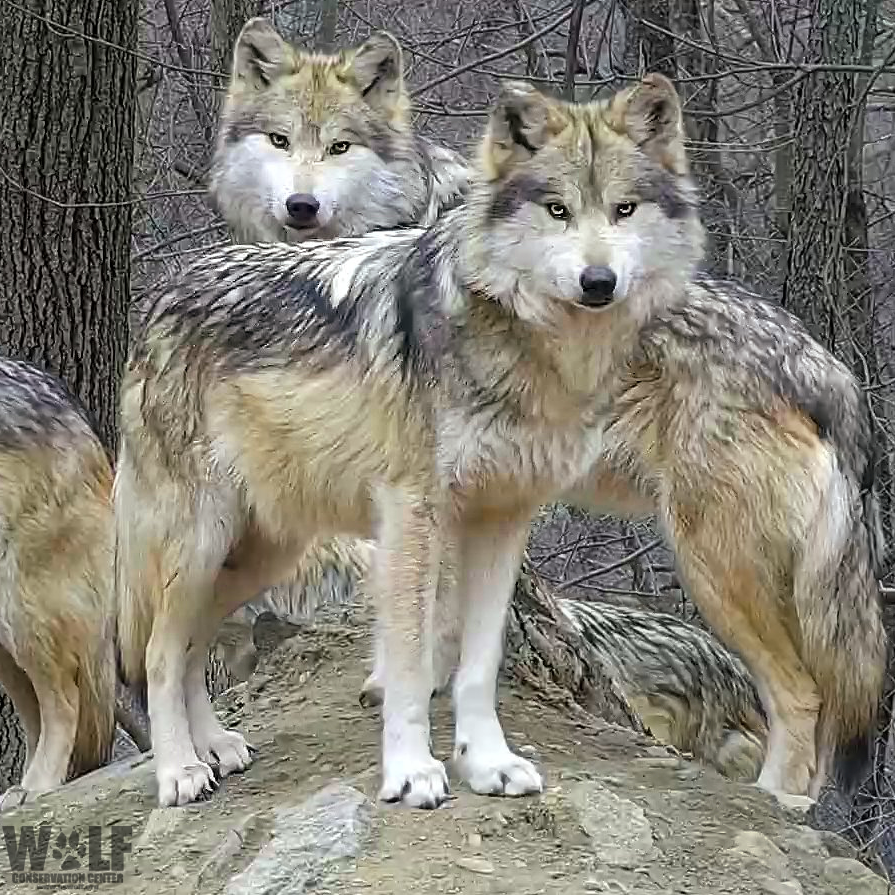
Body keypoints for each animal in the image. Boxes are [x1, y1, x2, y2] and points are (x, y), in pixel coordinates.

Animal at [114, 72, 705, 808]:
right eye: (558, 210)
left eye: (623, 209)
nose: (598, 283)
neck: (526, 347)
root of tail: (162, 292)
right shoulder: (411, 514)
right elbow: (408, 661)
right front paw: (411, 771)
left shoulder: (502, 518)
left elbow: (477, 663)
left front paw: (488, 763)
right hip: (200, 539)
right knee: (160, 652)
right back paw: (179, 770)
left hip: (261, 553)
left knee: (193, 643)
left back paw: (216, 744)